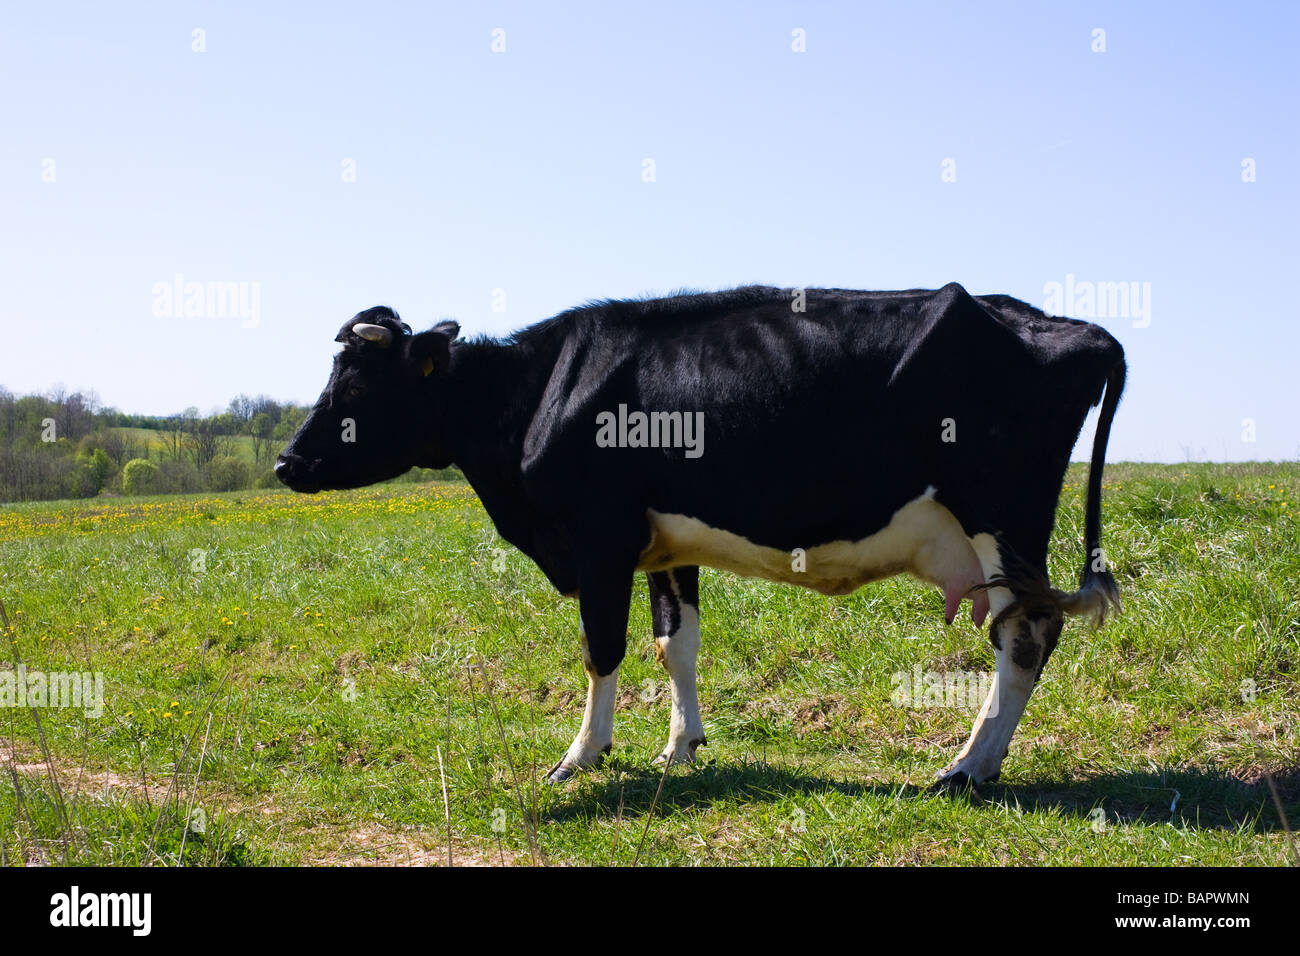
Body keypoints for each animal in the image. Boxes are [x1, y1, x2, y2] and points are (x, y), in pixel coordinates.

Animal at [275, 283, 1125, 789]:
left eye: (355, 388)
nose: (285, 462)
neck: (537, 392)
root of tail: (1056, 322)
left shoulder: (600, 539)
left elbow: (602, 650)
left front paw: (580, 756)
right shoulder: (663, 546)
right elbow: (672, 643)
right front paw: (681, 746)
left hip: (1004, 521)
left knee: (1026, 636)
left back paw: (968, 766)